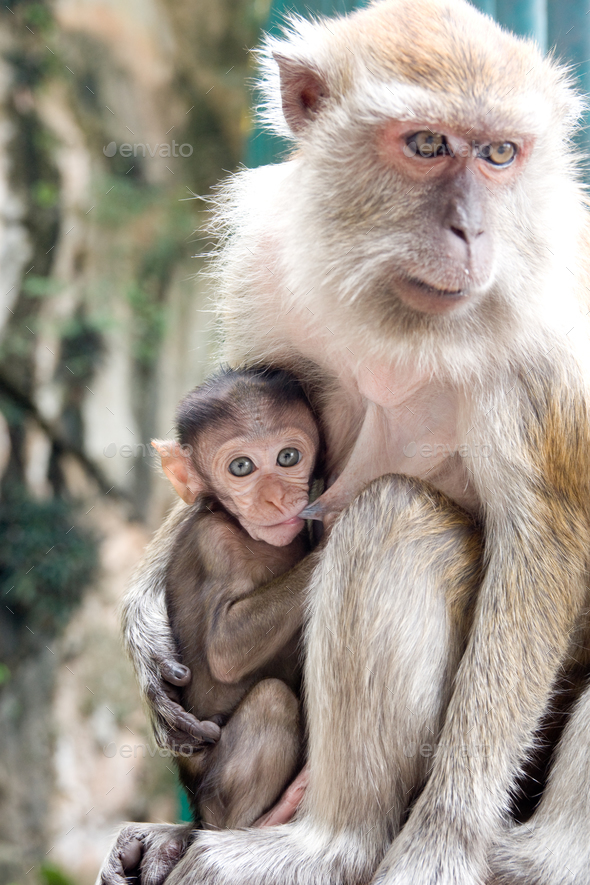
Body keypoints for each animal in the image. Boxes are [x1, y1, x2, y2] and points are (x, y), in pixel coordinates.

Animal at [97, 1, 590, 884]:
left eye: (500, 152)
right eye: (426, 143)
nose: (472, 230)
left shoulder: (544, 324)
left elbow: (545, 539)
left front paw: (439, 847)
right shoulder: (267, 253)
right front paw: (143, 611)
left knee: (395, 515)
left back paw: (338, 844)